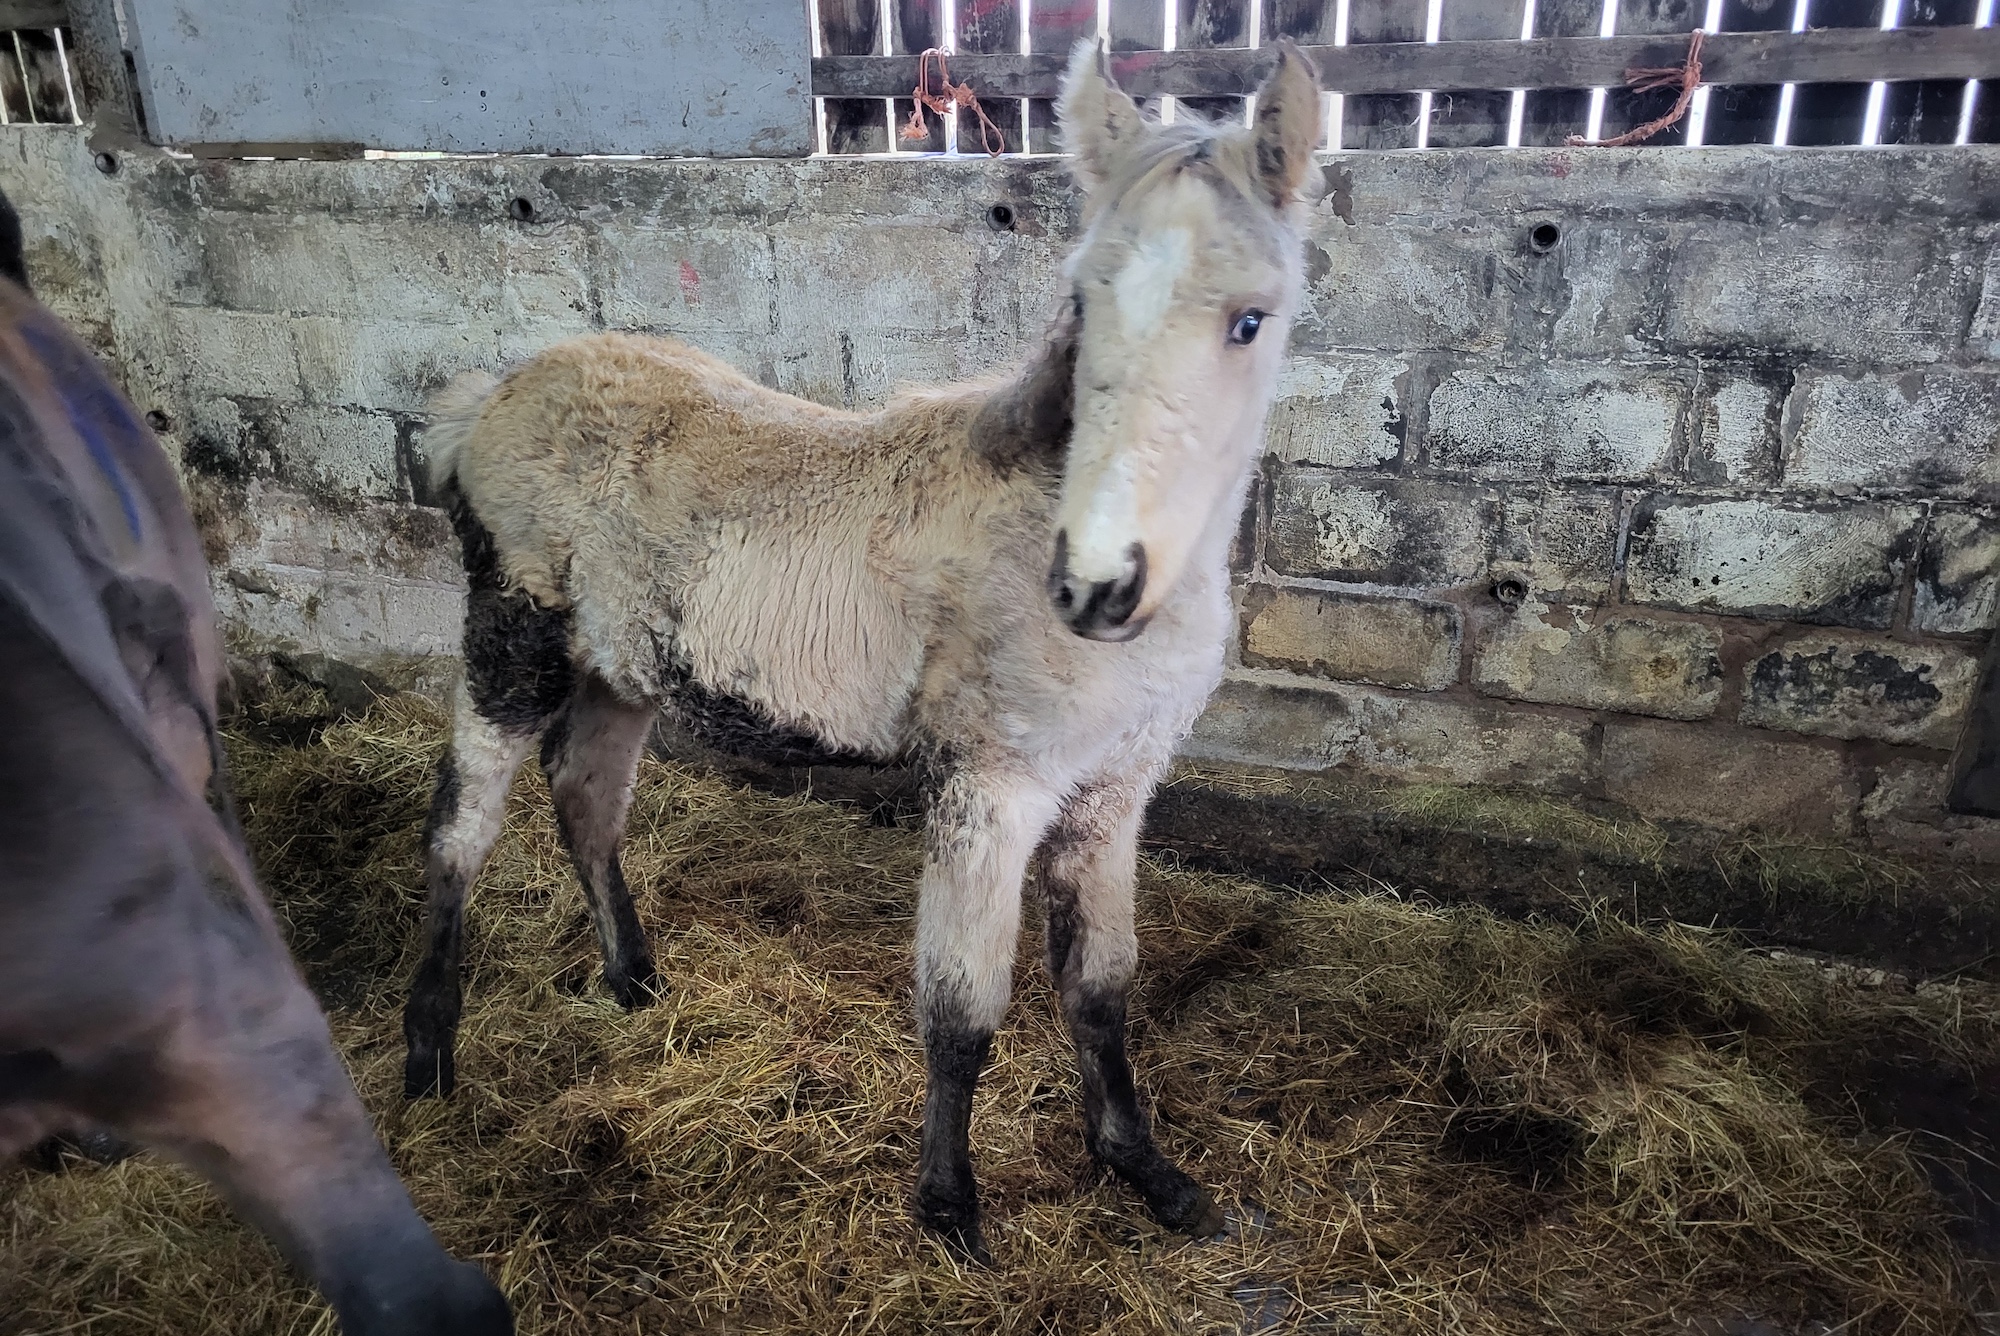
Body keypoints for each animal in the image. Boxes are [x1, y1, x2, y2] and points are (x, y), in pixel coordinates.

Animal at [403, 40, 1321, 1261]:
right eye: (1082, 297)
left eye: (1250, 319)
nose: (1096, 583)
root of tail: (490, 397)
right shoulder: (990, 788)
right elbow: (962, 1008)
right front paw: (949, 1209)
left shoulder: (1115, 792)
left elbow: (1100, 986)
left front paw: (1146, 1172)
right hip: (510, 645)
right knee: (461, 829)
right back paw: (428, 1053)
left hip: (622, 674)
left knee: (584, 799)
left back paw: (633, 978)